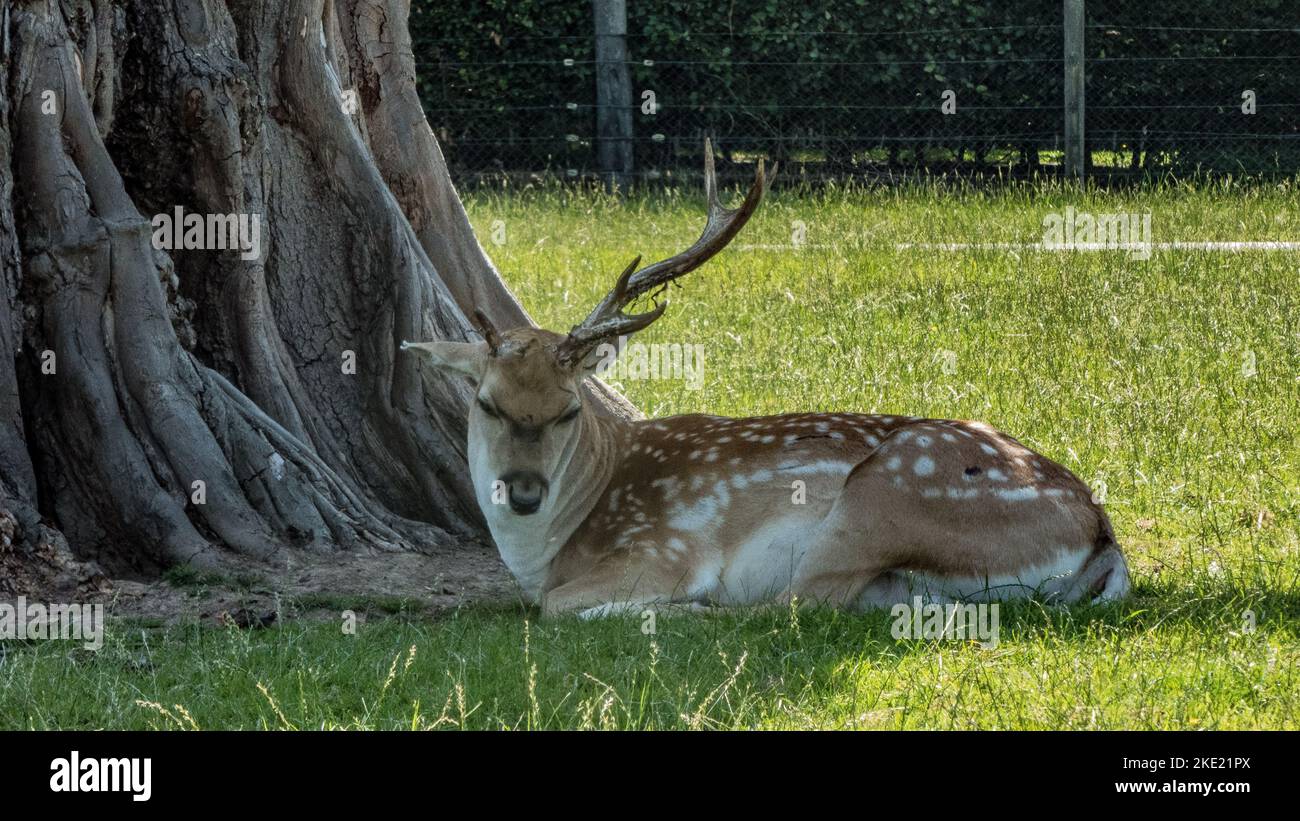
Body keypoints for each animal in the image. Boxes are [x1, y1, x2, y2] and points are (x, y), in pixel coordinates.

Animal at [402, 142, 1130, 618]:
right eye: (487, 402)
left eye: (568, 410)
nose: (524, 491)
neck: (553, 544)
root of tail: (1104, 535)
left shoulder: (665, 545)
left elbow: (555, 605)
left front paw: (669, 605)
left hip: (884, 497)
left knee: (792, 606)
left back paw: (699, 611)